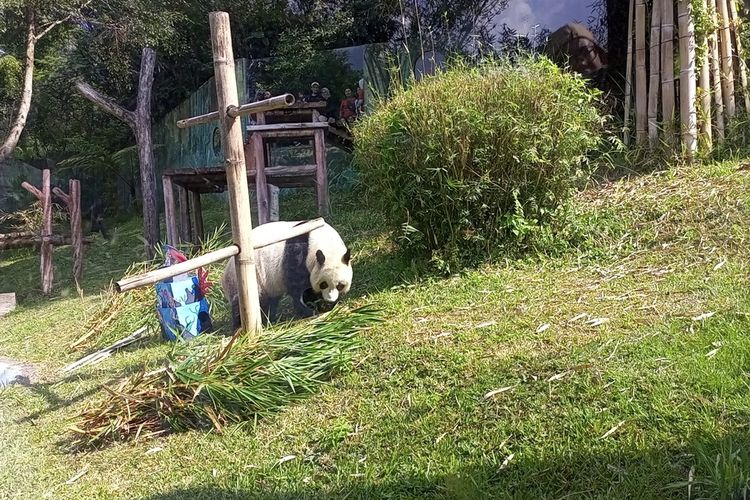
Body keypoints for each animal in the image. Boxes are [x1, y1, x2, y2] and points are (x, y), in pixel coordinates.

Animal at [221, 219, 353, 328]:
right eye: (323, 284)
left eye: (340, 285)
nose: (330, 300)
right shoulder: (298, 255)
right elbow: (298, 288)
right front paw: (311, 310)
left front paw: (327, 306)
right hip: (247, 279)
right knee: (243, 302)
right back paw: (240, 326)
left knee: (269, 301)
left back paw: (269, 319)